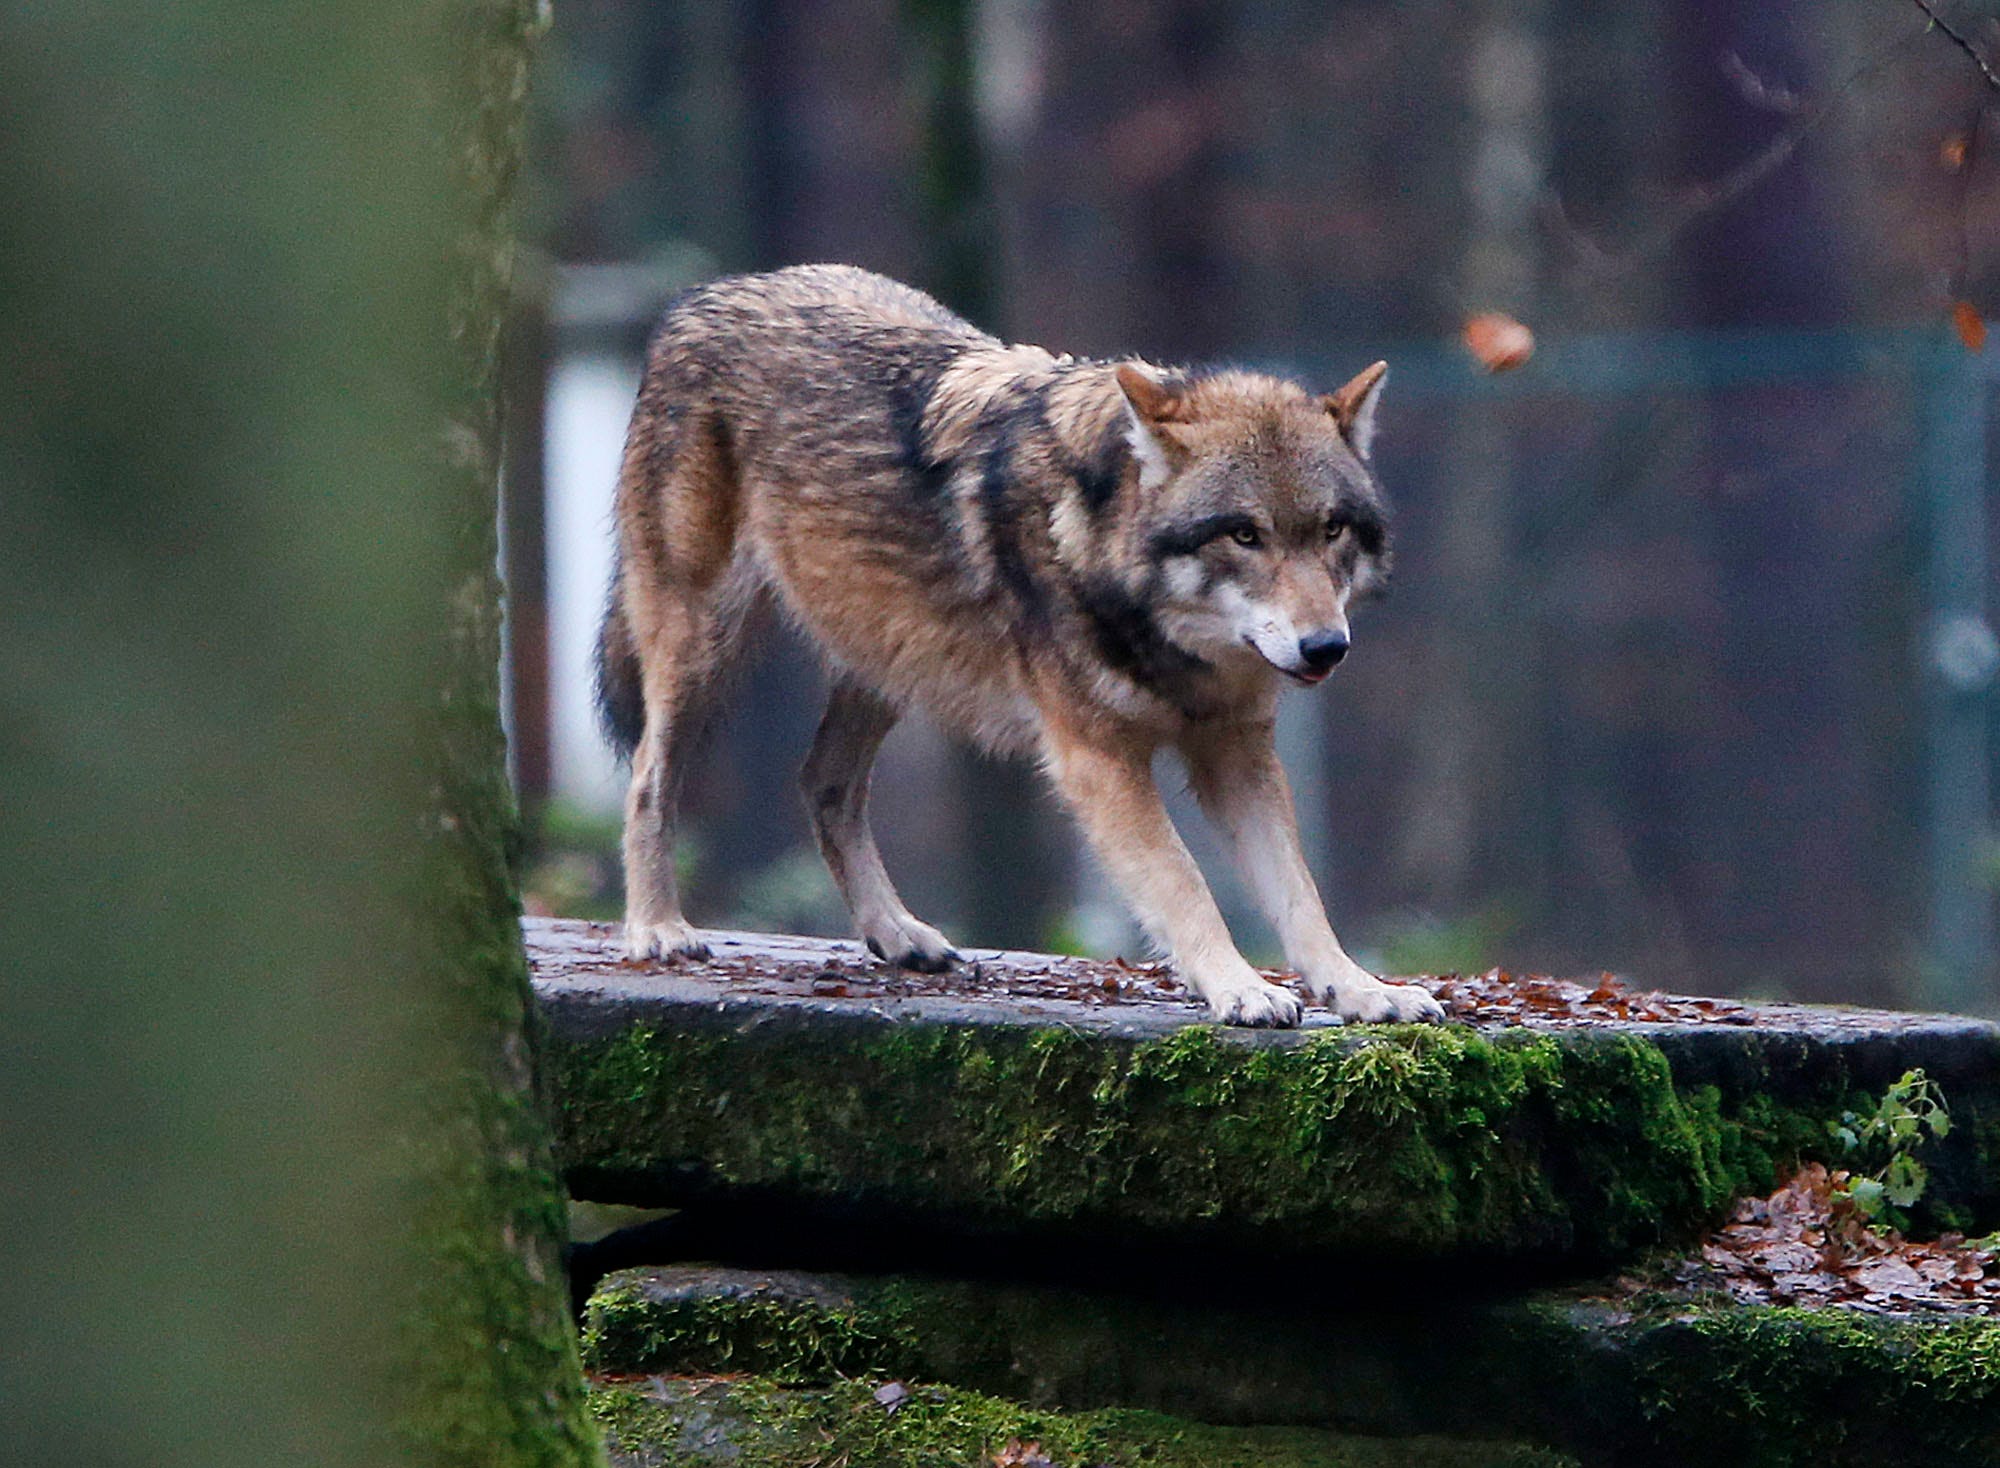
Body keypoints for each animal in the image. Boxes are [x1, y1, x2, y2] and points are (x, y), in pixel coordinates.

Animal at [597, 264, 1444, 1028]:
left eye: (1330, 530)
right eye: (1245, 534)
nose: (1325, 647)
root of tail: (705, 295)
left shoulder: (1238, 752)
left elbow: (1301, 894)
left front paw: (1361, 989)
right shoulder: (1097, 759)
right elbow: (1184, 882)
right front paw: (1241, 988)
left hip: (891, 660)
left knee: (821, 784)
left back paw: (897, 934)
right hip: (706, 647)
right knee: (647, 779)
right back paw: (657, 930)